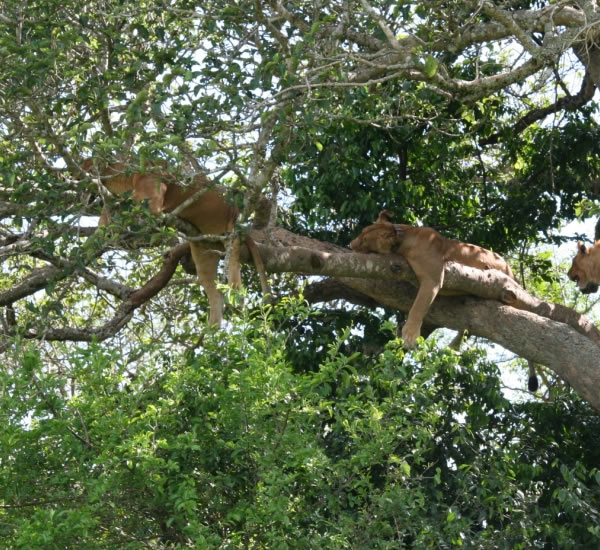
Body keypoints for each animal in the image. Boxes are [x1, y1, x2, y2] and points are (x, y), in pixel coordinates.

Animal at [81, 158, 268, 328]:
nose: (83, 196)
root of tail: (236, 215)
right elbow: (106, 216)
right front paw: (94, 240)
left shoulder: (153, 196)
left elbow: (128, 205)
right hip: (203, 252)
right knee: (214, 293)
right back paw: (212, 332)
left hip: (231, 237)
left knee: (234, 273)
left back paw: (237, 302)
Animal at [346, 211, 540, 392]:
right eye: (361, 233)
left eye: (364, 241)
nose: (350, 245)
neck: (404, 238)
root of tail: (512, 271)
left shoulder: (433, 279)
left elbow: (418, 307)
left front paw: (410, 334)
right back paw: (453, 346)